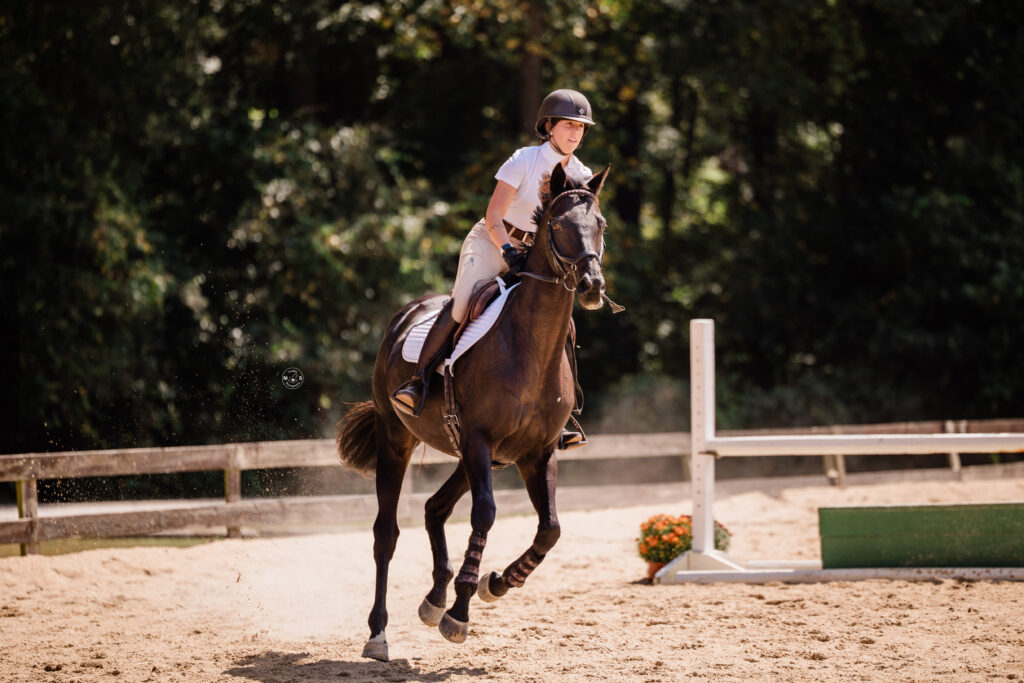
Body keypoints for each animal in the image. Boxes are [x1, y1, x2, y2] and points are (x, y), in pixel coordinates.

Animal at [336, 161, 613, 662]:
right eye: (559, 225)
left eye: (599, 225)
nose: (591, 287)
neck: (530, 346)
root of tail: (404, 316)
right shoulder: (480, 441)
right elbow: (484, 515)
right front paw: (461, 613)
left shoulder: (536, 453)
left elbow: (551, 528)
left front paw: (497, 582)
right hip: (398, 438)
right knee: (386, 533)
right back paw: (379, 634)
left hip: (469, 455)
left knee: (434, 507)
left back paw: (433, 599)